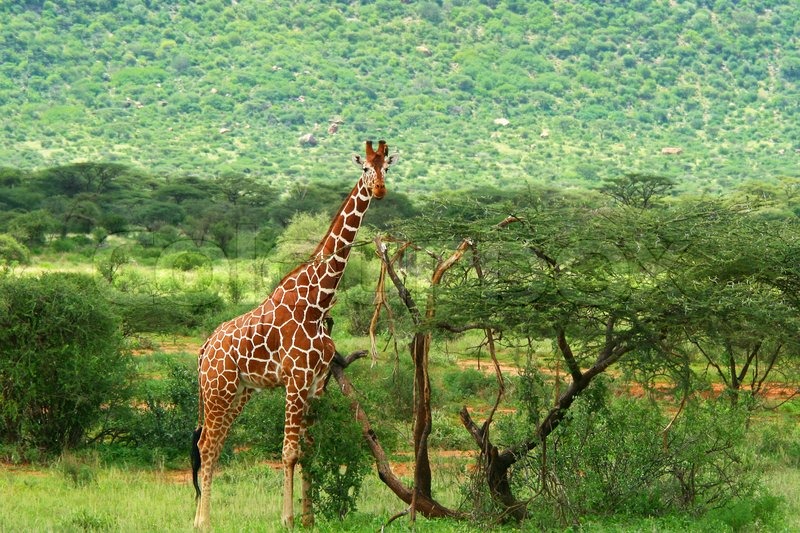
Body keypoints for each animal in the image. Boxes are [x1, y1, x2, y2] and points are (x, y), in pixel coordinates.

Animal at [191, 140, 397, 529]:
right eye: (365, 168)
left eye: (387, 168)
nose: (379, 190)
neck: (318, 303)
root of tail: (205, 348)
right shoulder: (296, 381)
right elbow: (288, 452)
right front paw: (287, 519)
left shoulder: (315, 385)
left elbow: (309, 452)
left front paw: (309, 518)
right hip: (217, 389)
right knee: (206, 445)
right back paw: (203, 522)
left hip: (240, 391)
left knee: (216, 441)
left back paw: (200, 517)